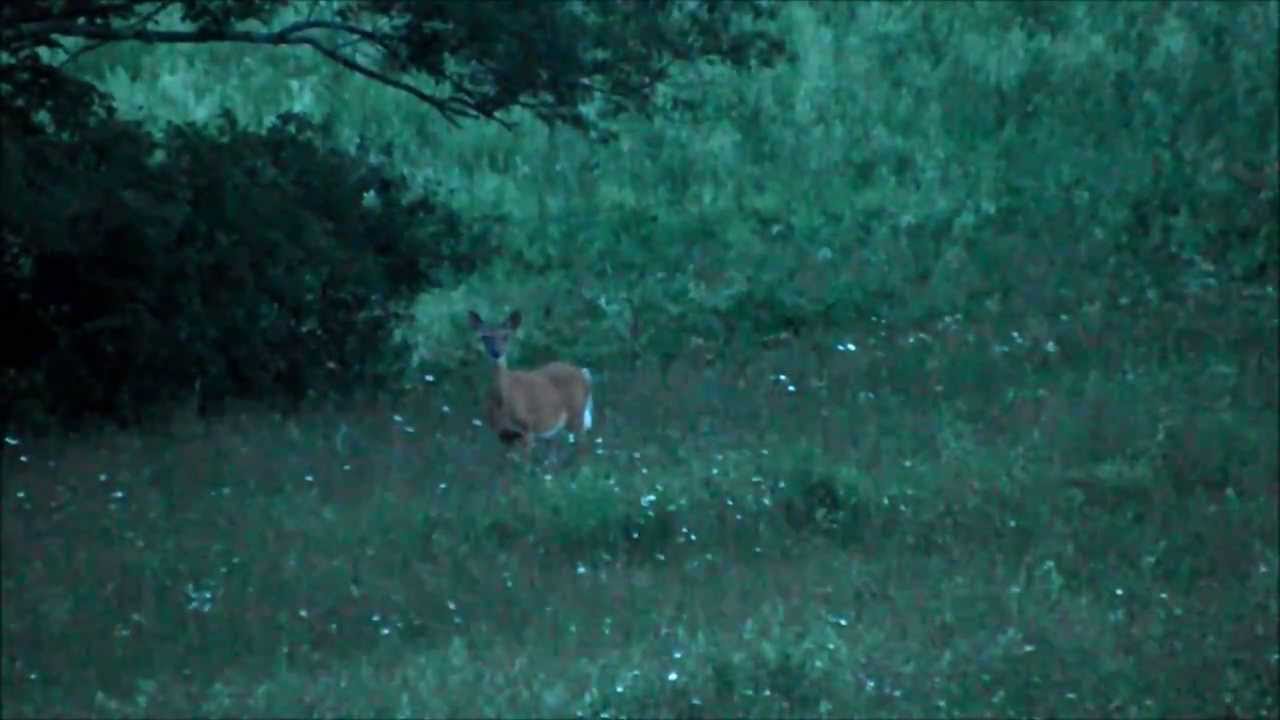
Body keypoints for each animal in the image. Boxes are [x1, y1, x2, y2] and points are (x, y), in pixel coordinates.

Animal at [468, 309, 593, 465]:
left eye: (506, 336)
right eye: (485, 337)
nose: (496, 352)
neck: (504, 402)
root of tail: (584, 375)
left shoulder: (527, 429)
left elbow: (525, 465)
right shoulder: (502, 434)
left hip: (576, 414)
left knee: (583, 445)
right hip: (554, 427)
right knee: (554, 453)